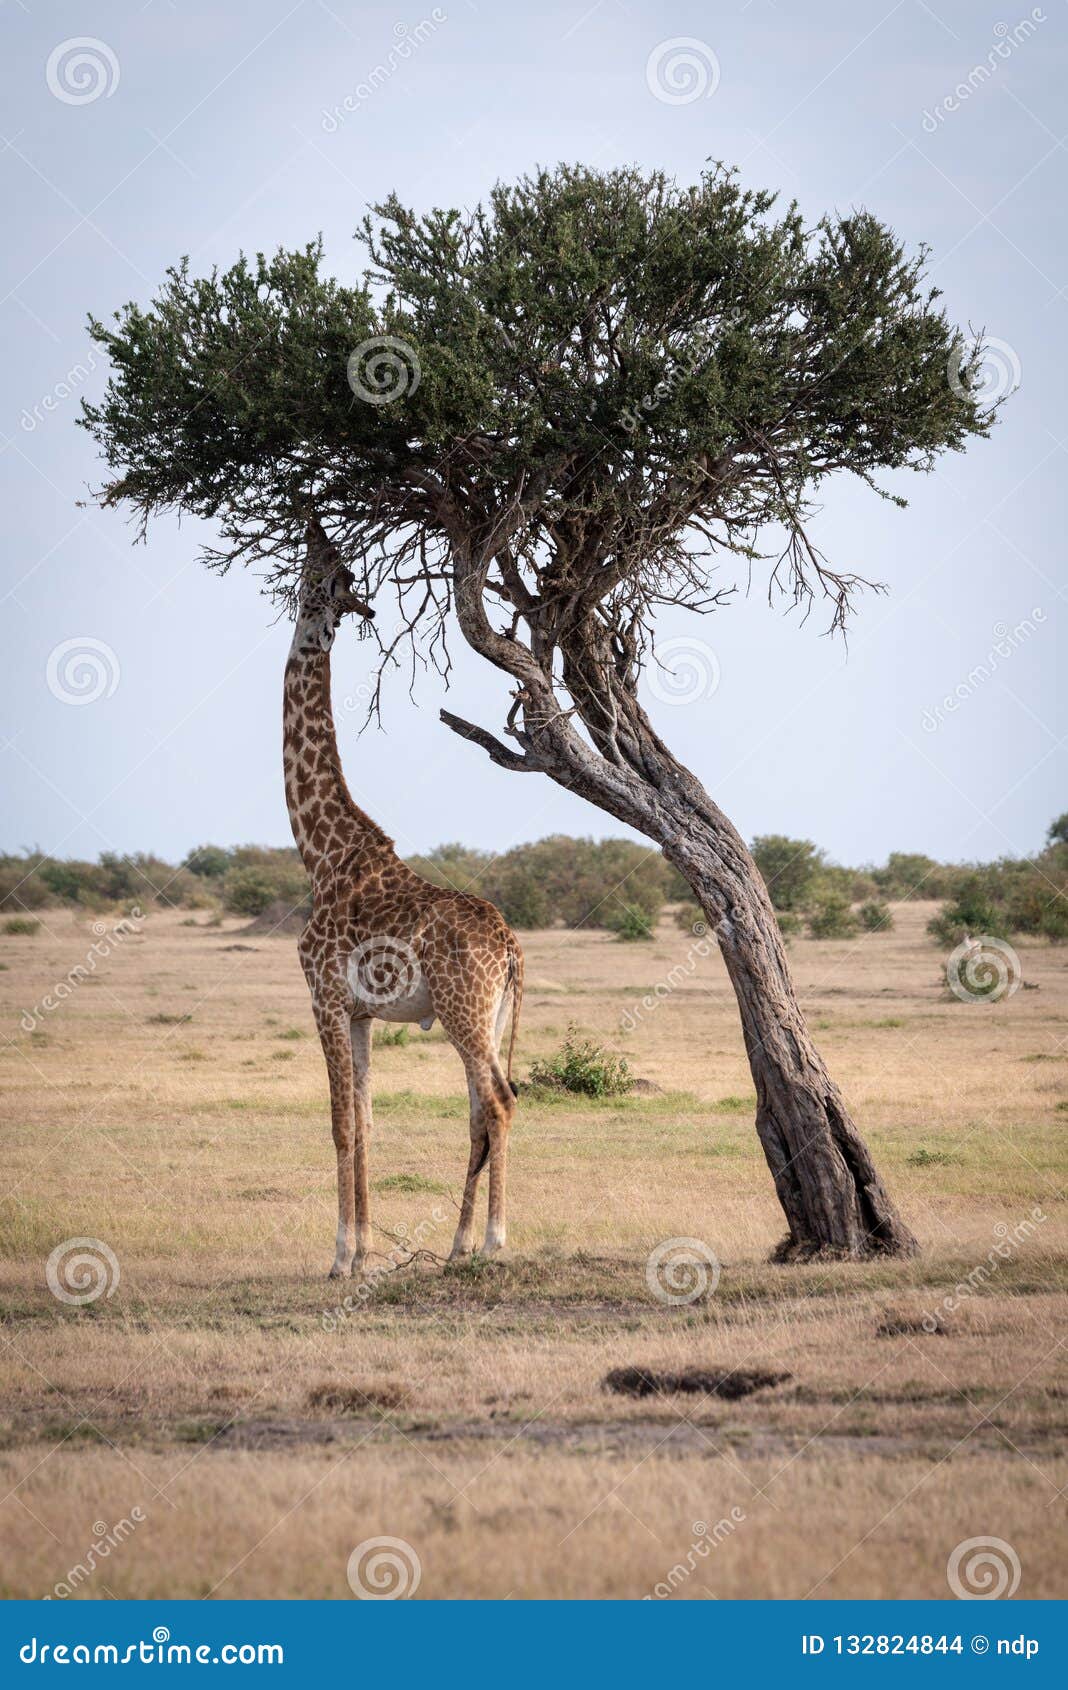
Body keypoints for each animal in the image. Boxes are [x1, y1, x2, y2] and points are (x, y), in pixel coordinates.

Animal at [284, 517, 523, 1278]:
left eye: (323, 570)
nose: (311, 521)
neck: (321, 851)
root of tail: (512, 951)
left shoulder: (324, 997)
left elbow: (338, 1122)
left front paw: (338, 1258)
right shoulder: (361, 1013)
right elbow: (365, 1120)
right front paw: (363, 1251)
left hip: (461, 1010)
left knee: (499, 1102)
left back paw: (495, 1242)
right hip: (490, 1014)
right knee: (481, 1108)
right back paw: (457, 1246)